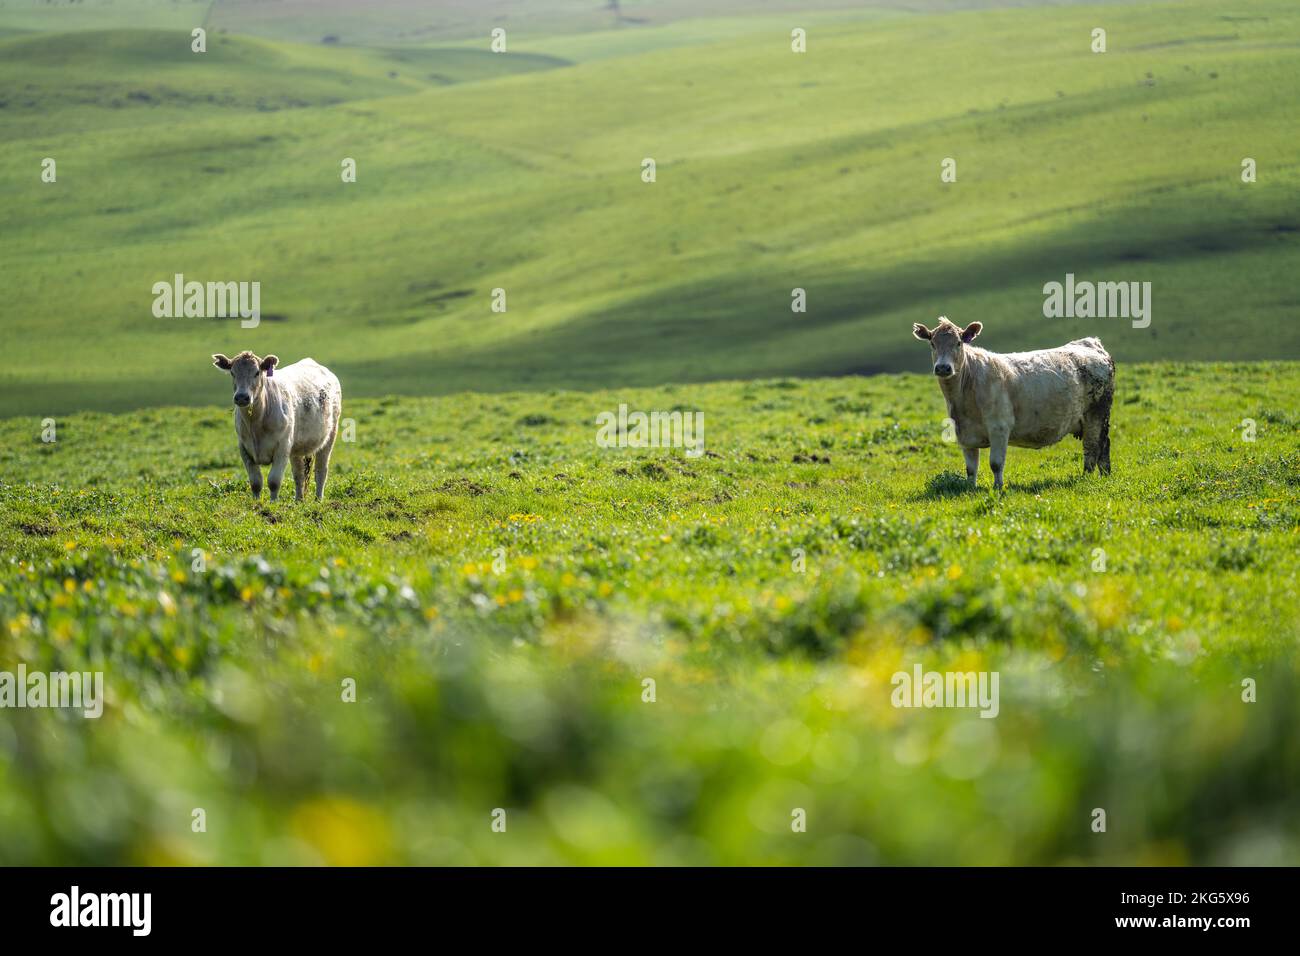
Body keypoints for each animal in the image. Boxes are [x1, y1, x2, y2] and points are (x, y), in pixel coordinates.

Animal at [211, 351, 342, 502]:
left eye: (257, 372)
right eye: (232, 373)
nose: (242, 397)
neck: (255, 424)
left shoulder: (282, 447)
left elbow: (274, 481)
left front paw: (273, 502)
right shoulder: (244, 448)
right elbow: (255, 482)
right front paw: (256, 503)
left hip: (329, 436)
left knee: (321, 470)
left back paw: (318, 499)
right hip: (296, 447)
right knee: (299, 474)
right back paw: (298, 500)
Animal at [911, 317, 1114, 490]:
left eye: (959, 343)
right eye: (932, 343)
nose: (943, 368)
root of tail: (1091, 343)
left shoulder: (999, 427)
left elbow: (995, 463)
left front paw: (997, 488)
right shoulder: (965, 434)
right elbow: (970, 468)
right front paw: (971, 489)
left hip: (1096, 414)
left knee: (1092, 448)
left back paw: (1086, 478)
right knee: (1104, 445)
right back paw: (1105, 476)